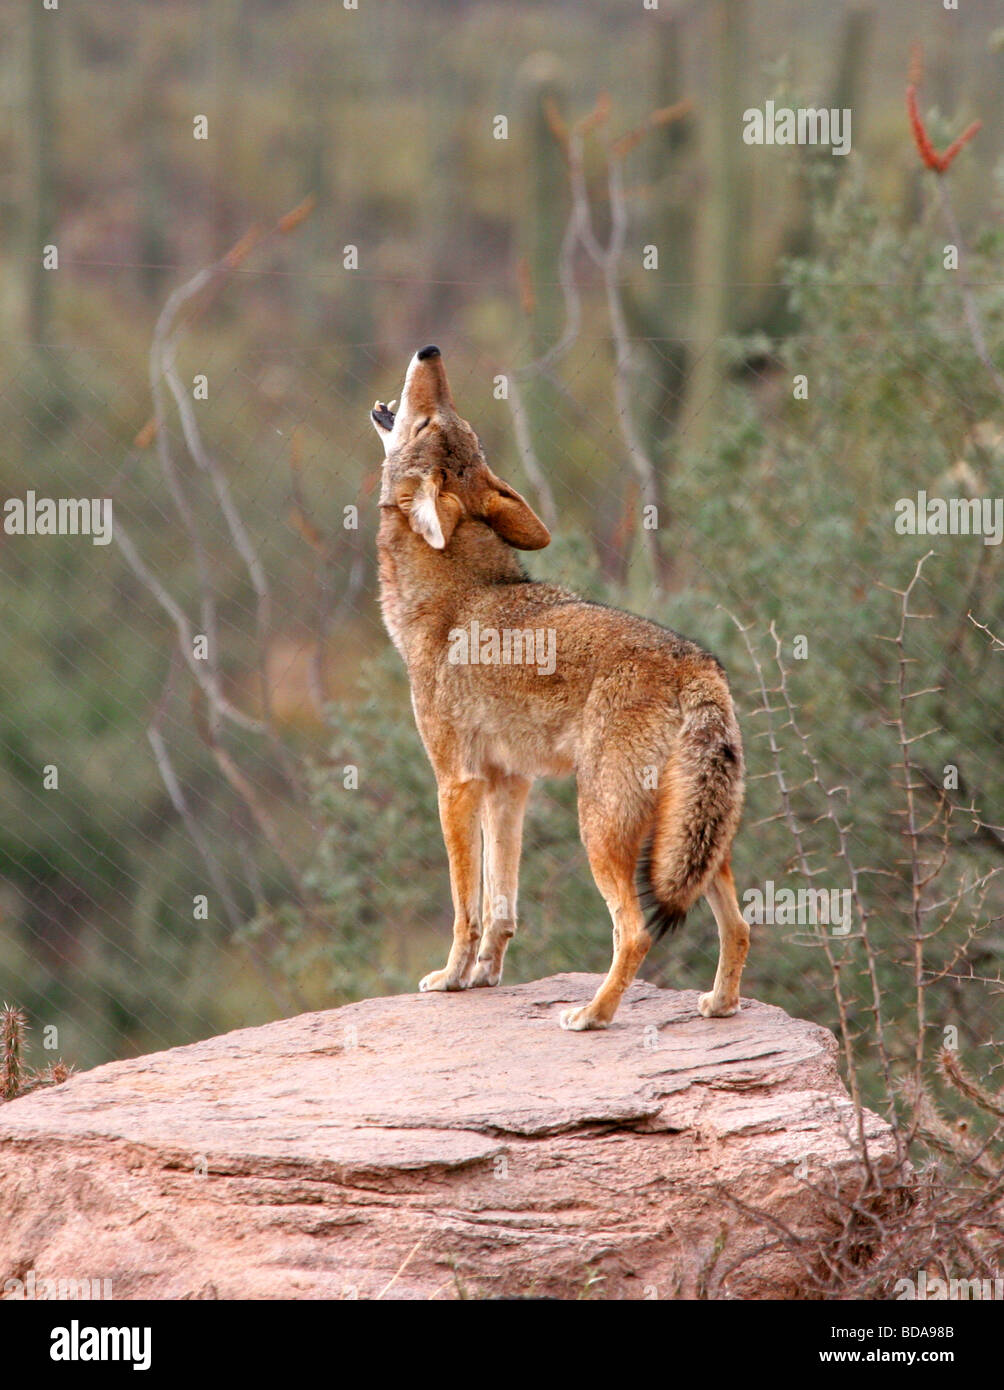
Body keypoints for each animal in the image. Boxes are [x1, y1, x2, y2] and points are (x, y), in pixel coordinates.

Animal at [370, 346, 750, 1030]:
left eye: (436, 421)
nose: (430, 351)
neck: (448, 592)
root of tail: (696, 665)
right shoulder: (508, 785)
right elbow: (502, 904)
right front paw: (485, 977)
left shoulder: (455, 783)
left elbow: (465, 905)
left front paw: (451, 979)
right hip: (695, 840)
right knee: (739, 927)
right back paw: (719, 1005)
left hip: (599, 827)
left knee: (636, 931)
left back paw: (592, 1015)